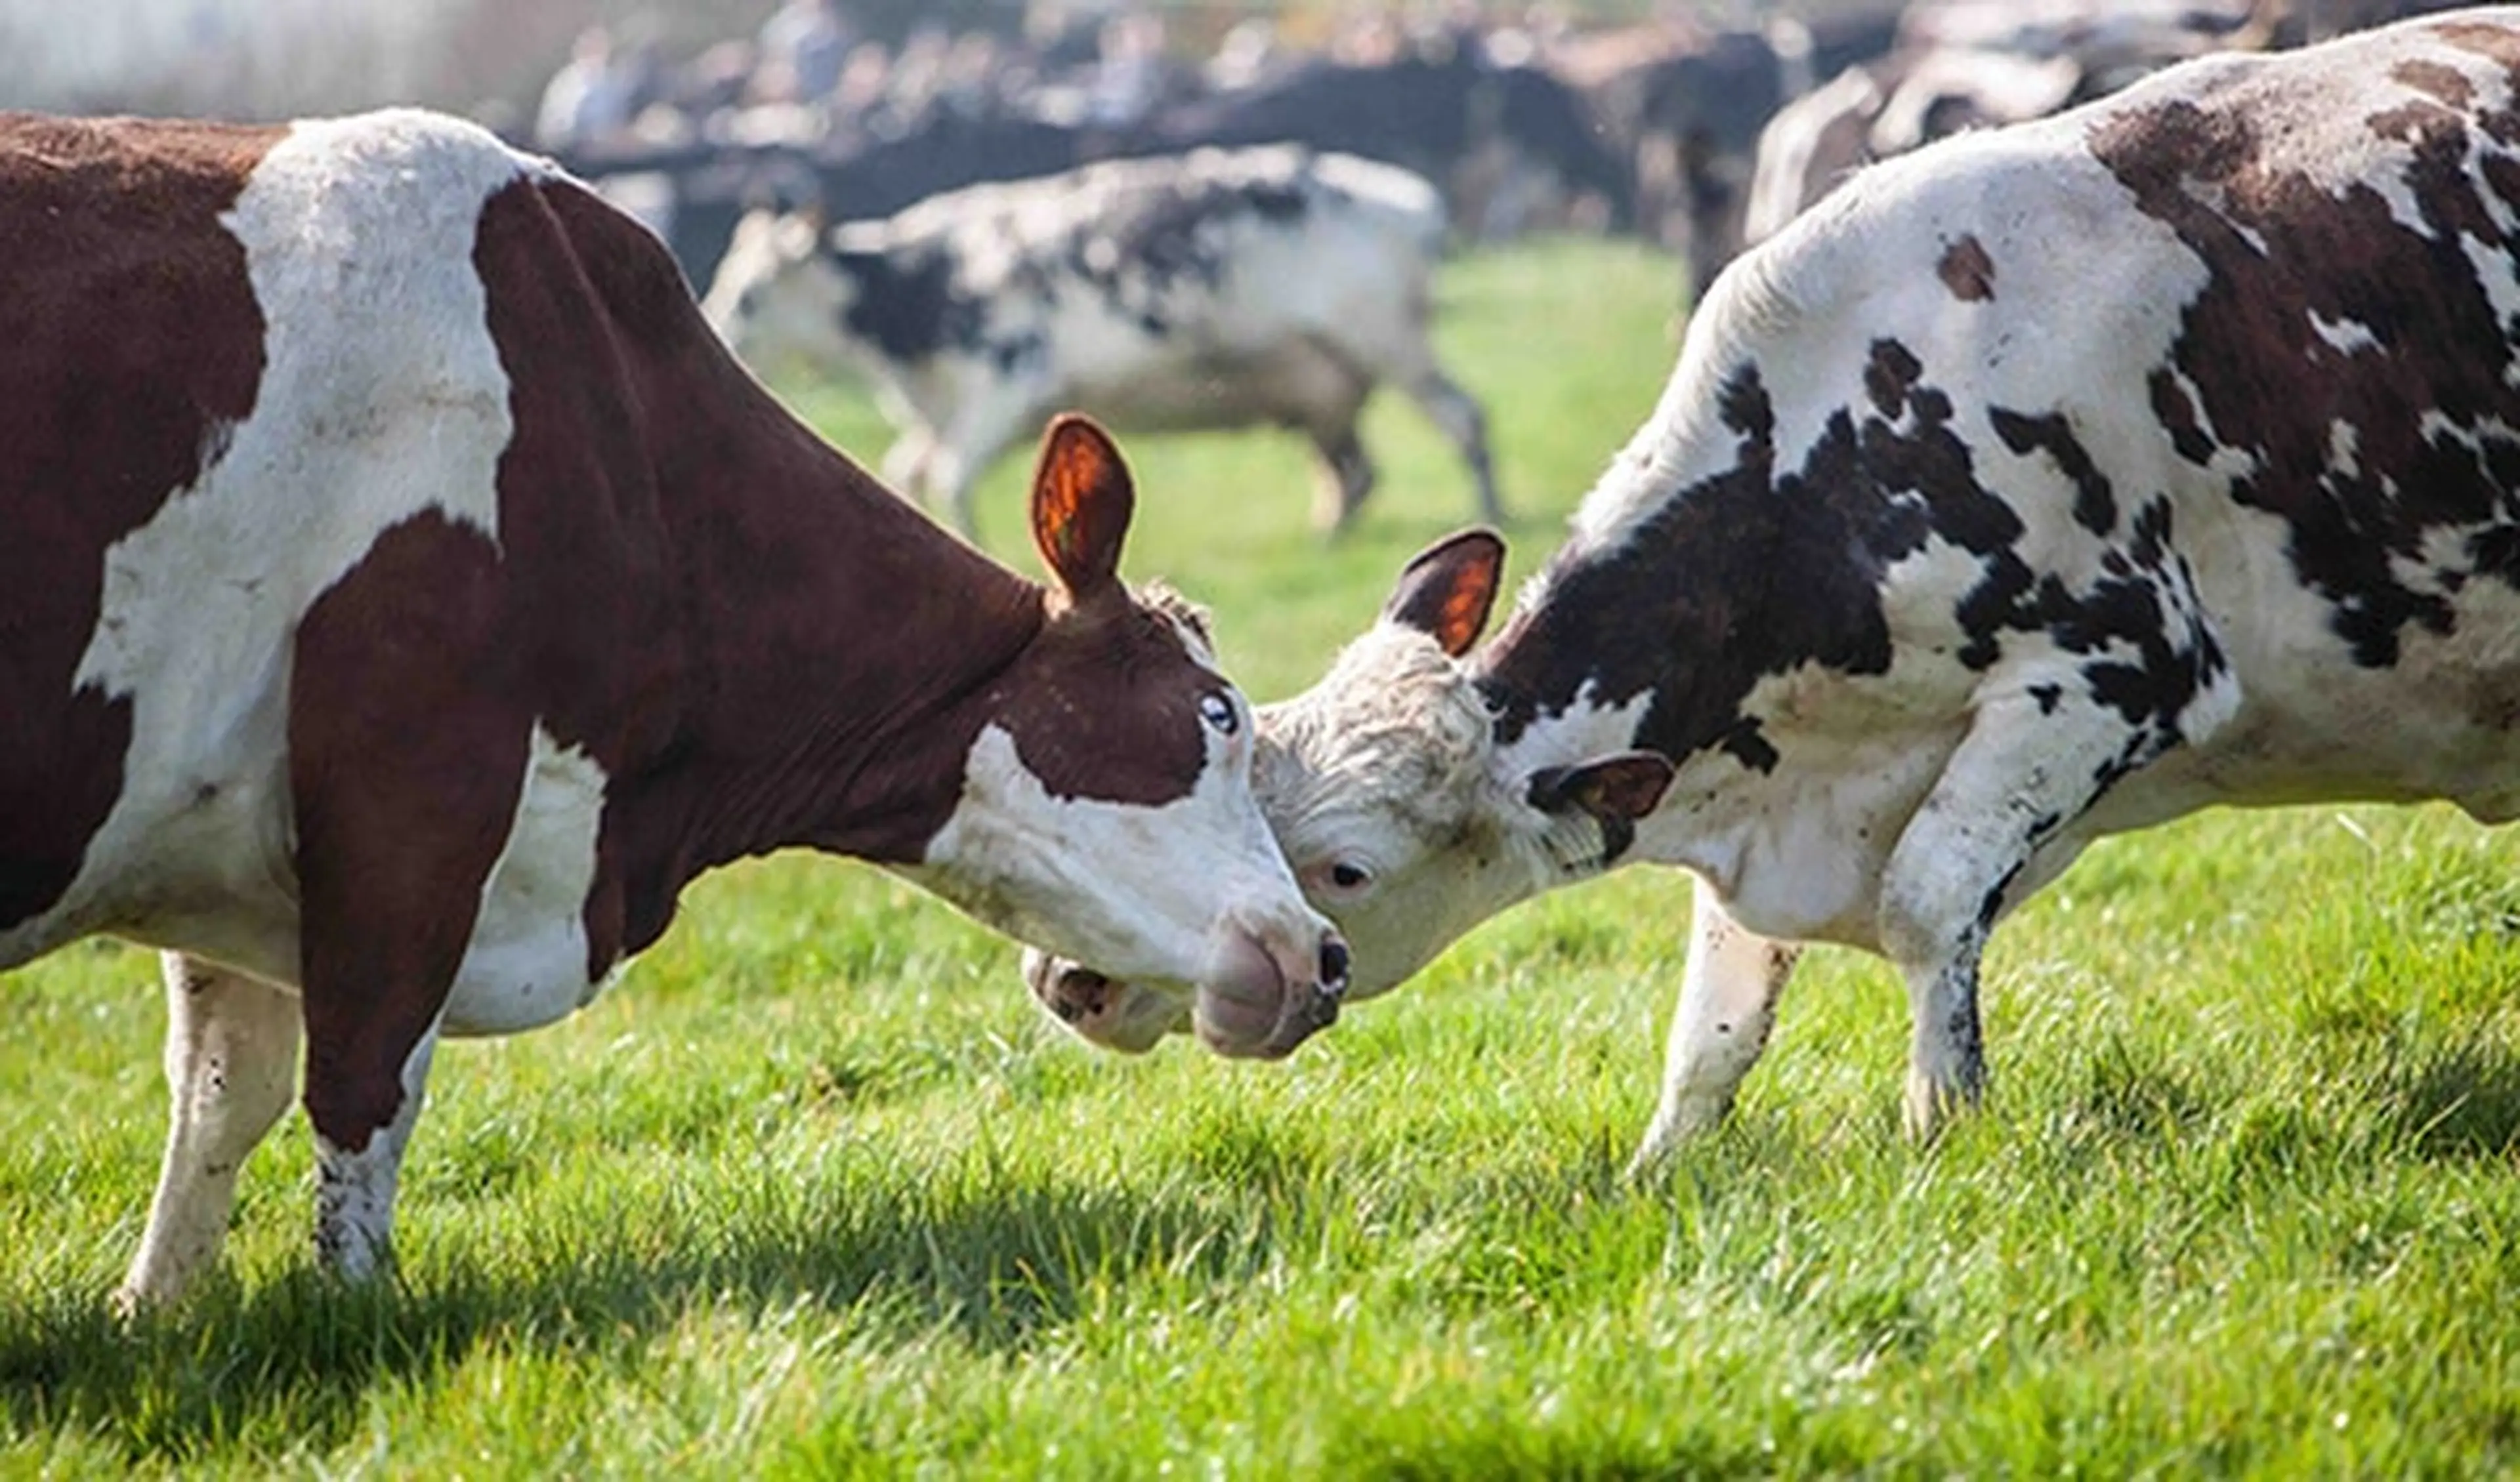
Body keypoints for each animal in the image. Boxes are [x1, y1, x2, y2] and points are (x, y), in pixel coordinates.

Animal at [0, 107, 1349, 1309]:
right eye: (1217, 716)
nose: (1320, 952)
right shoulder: (415, 798)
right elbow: (363, 1082)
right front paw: (352, 1313)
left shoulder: (234, 847)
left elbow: (222, 1093)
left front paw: (155, 1308)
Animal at [700, 145, 1502, 540]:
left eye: (751, 294)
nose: (716, 336)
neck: (931, 279)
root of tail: (1407, 198)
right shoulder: (939, 412)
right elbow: (910, 473)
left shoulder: (1009, 384)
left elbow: (951, 476)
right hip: (1326, 385)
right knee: (1353, 471)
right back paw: (1331, 531)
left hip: (1390, 344)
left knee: (1463, 419)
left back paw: (1487, 511)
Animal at [1023, 10, 2520, 1169]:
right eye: (1245, 771)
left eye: (1347, 867)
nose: (1069, 975)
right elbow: (1716, 1021)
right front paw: (1657, 1170)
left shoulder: (2119, 673)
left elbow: (1927, 902)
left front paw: (1942, 1122)